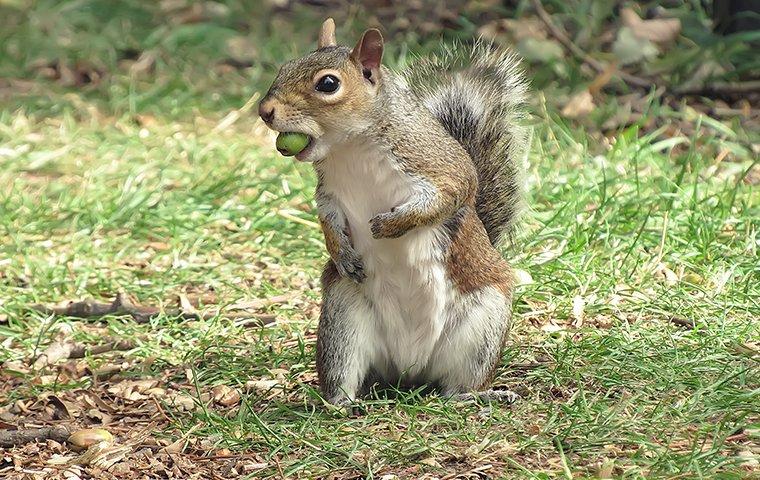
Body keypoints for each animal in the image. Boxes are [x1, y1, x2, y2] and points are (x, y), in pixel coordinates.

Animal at [259, 18, 529, 405]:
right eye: (284, 67)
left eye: (328, 84)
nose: (265, 111)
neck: (350, 147)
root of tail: (410, 371)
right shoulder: (329, 193)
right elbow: (327, 218)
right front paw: (342, 253)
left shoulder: (439, 165)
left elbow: (452, 194)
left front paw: (390, 225)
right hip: (343, 321)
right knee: (344, 371)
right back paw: (341, 403)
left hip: (483, 325)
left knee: (456, 388)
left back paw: (479, 396)